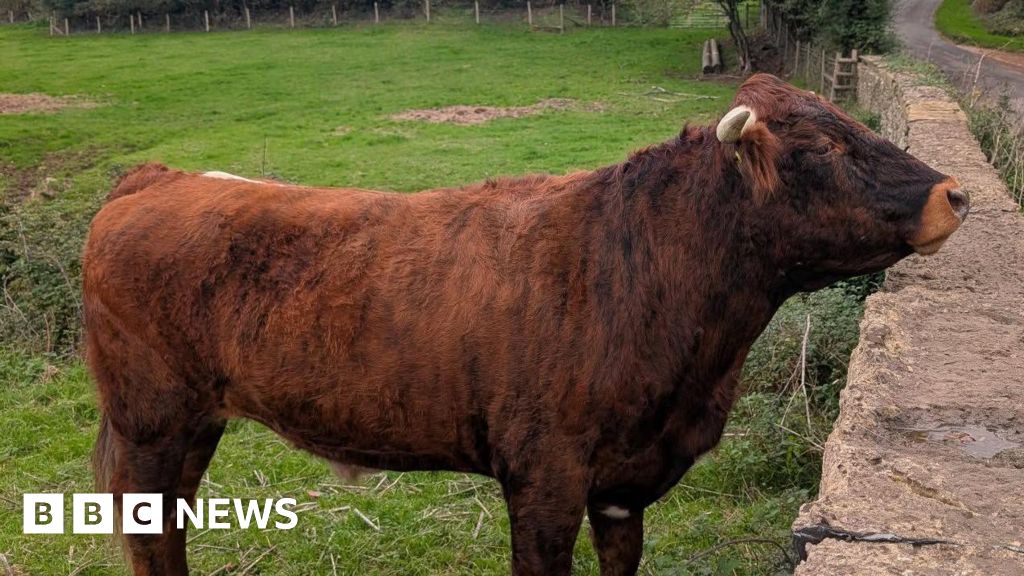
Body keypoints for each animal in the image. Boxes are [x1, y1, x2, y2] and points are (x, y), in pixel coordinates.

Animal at [83, 74, 968, 576]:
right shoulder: (545, 476)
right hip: (151, 418)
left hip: (192, 424)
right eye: (824, 148)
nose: (955, 193)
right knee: (151, 535)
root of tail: (158, 178)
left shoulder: (622, 488)